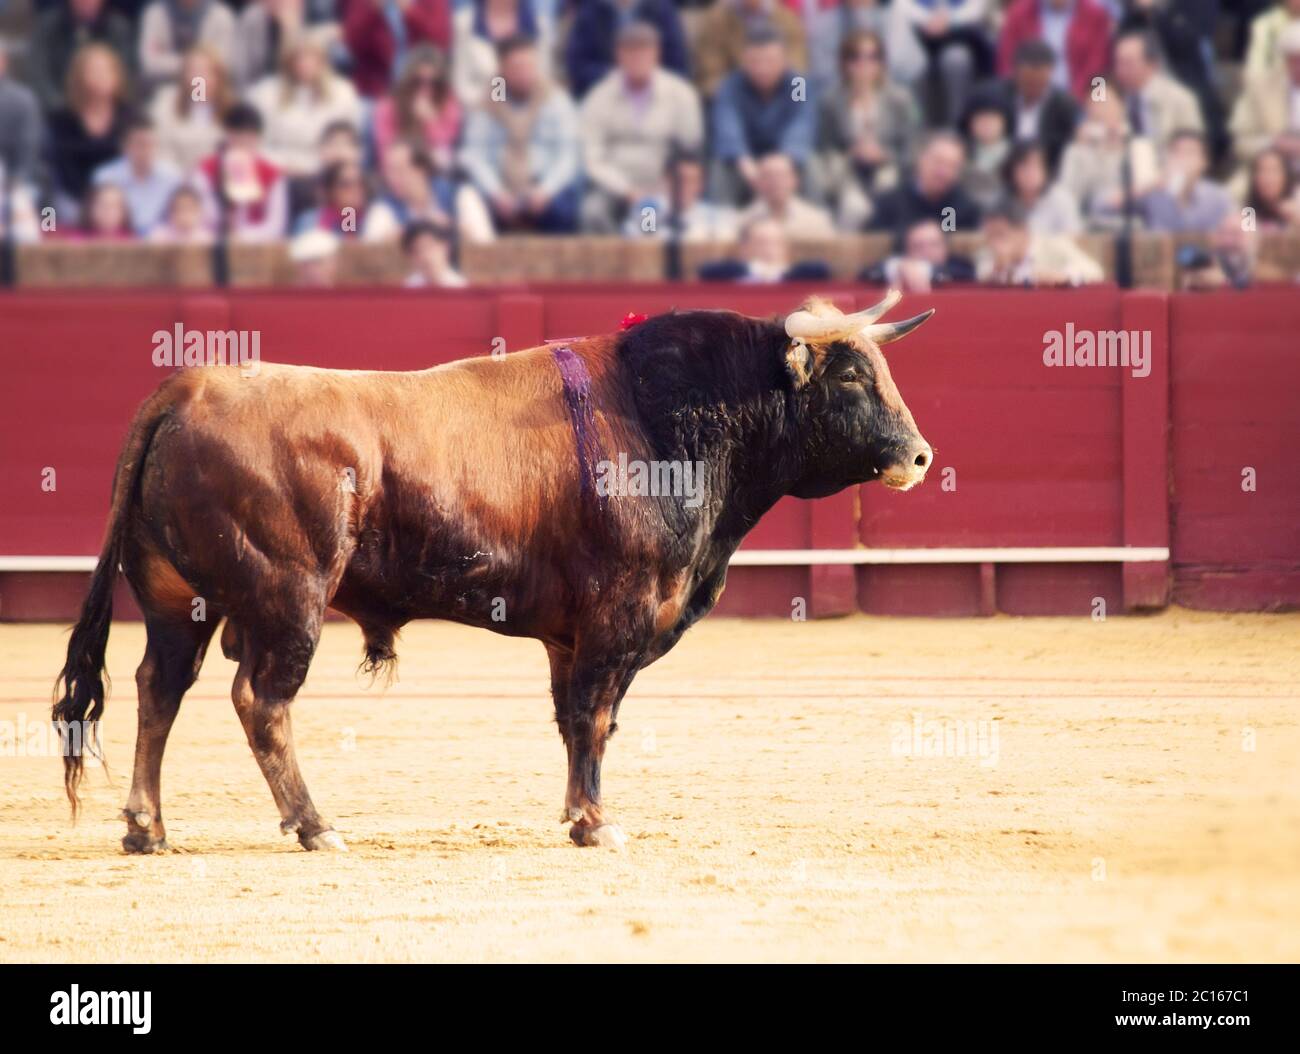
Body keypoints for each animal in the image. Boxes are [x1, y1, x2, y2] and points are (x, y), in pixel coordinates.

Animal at [53, 291, 935, 853]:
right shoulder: (619, 614)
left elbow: (573, 719)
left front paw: (577, 815)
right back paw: (314, 826)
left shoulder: (569, 637)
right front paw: (596, 823)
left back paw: (146, 828)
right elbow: (596, 717)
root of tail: (187, 387)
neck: (665, 415)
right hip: (287, 599)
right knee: (260, 701)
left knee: (158, 689)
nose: (922, 456)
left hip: (179, 601)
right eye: (850, 375)